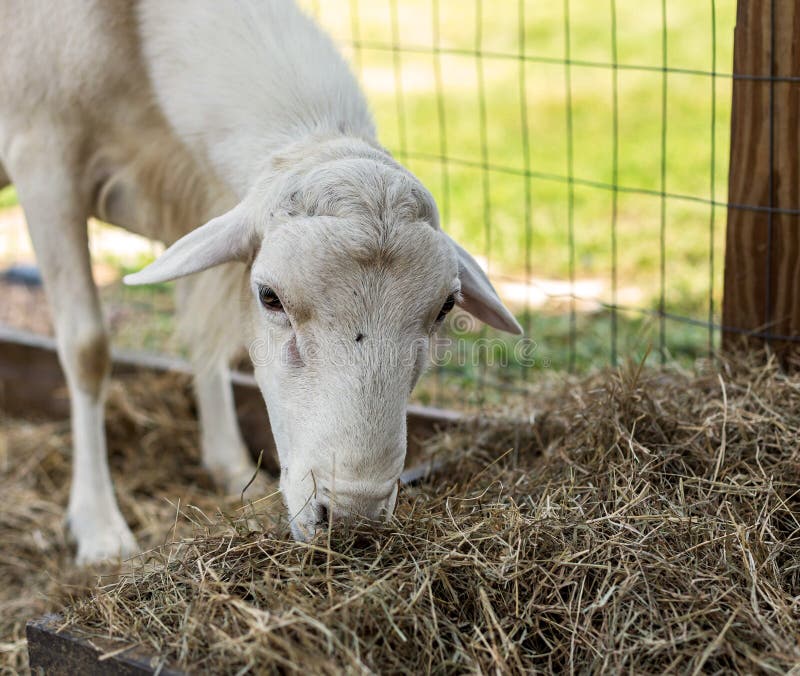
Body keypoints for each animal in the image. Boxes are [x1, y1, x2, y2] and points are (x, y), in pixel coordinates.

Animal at [0, 0, 521, 563]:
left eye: (446, 306)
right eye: (270, 297)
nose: (351, 520)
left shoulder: (188, 193)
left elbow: (205, 336)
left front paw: (229, 466)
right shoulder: (43, 160)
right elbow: (88, 350)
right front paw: (100, 532)